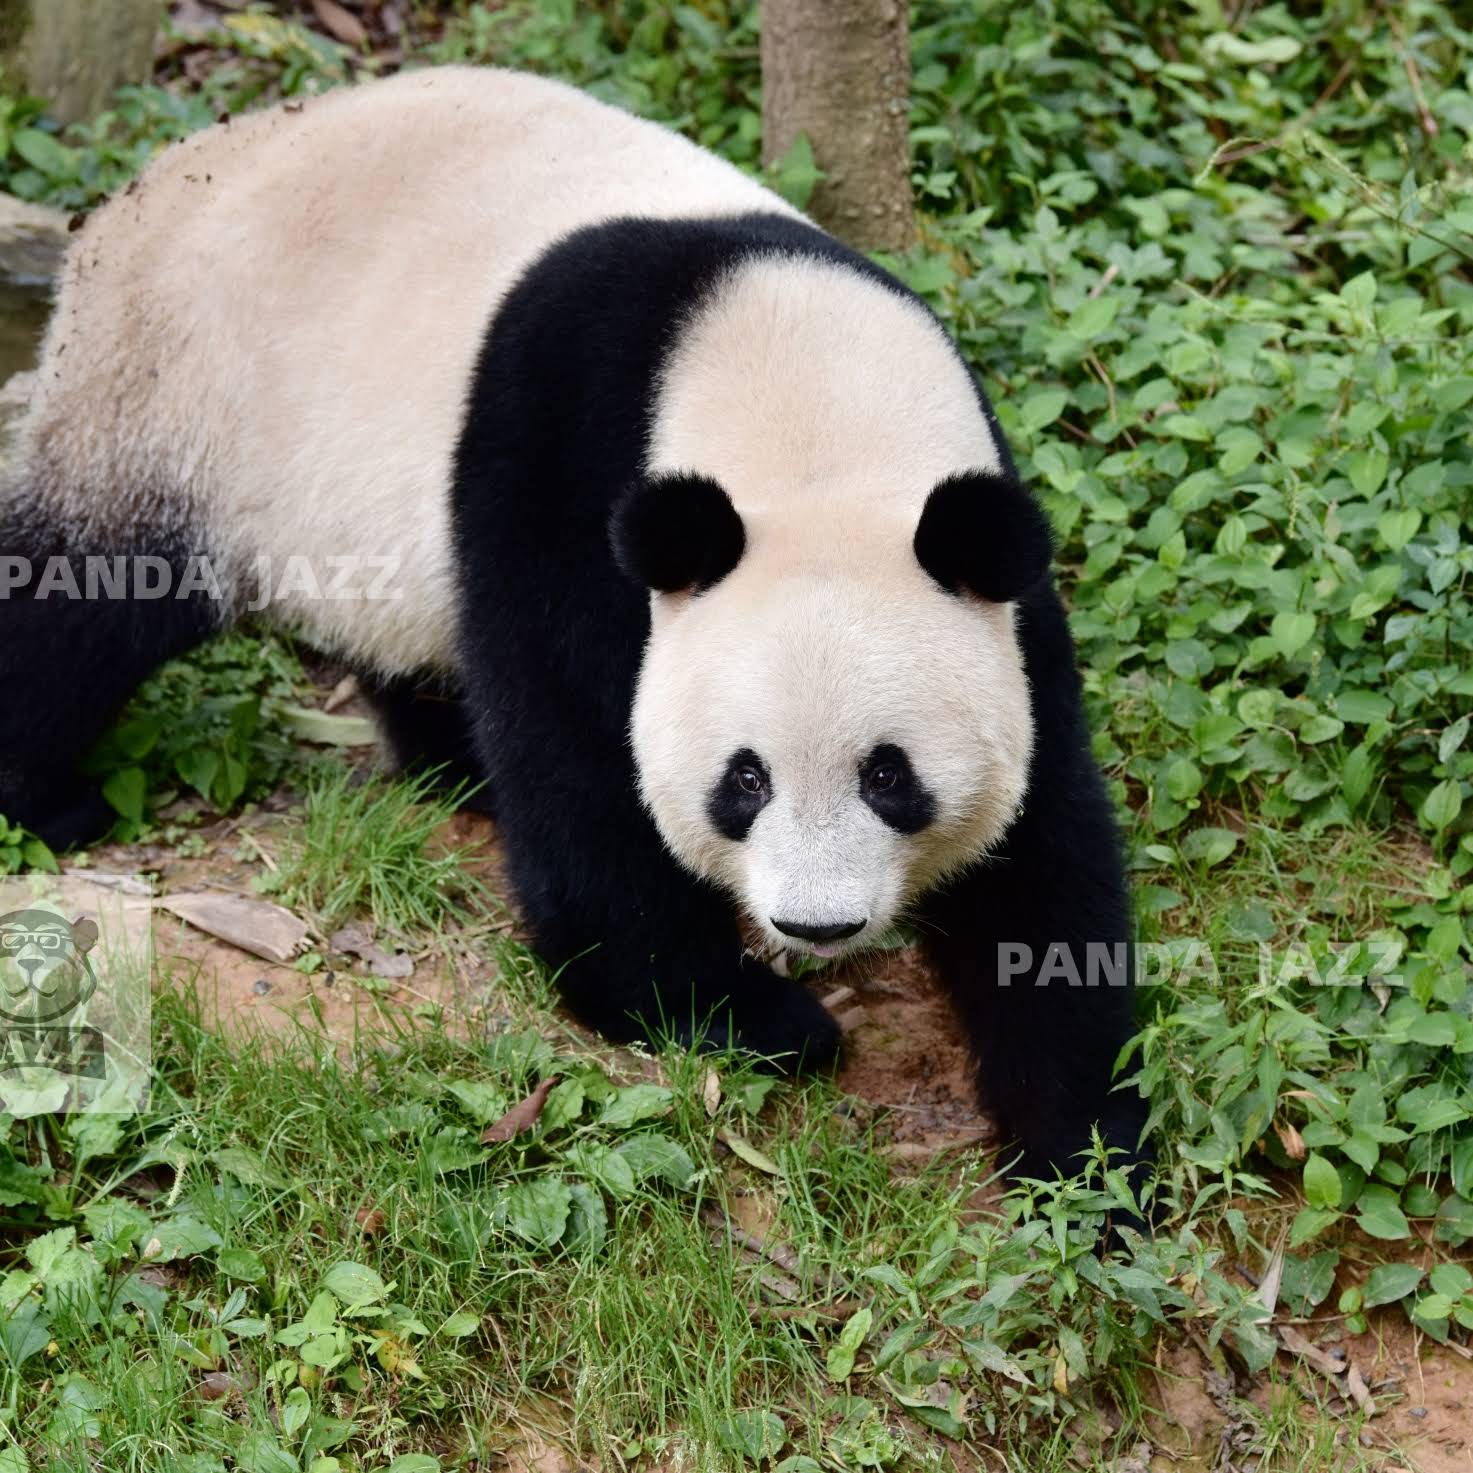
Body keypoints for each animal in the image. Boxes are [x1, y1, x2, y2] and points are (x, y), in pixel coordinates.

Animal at [0, 67, 1147, 1184]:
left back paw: (450, 762)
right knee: (79, 597)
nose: (815, 924)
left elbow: (1045, 846)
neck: (809, 401)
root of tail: (133, 198)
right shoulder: (565, 466)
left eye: (889, 775)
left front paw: (1086, 1158)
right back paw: (49, 800)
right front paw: (747, 1016)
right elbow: (578, 768)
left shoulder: (989, 566)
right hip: (174, 403)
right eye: (744, 779)